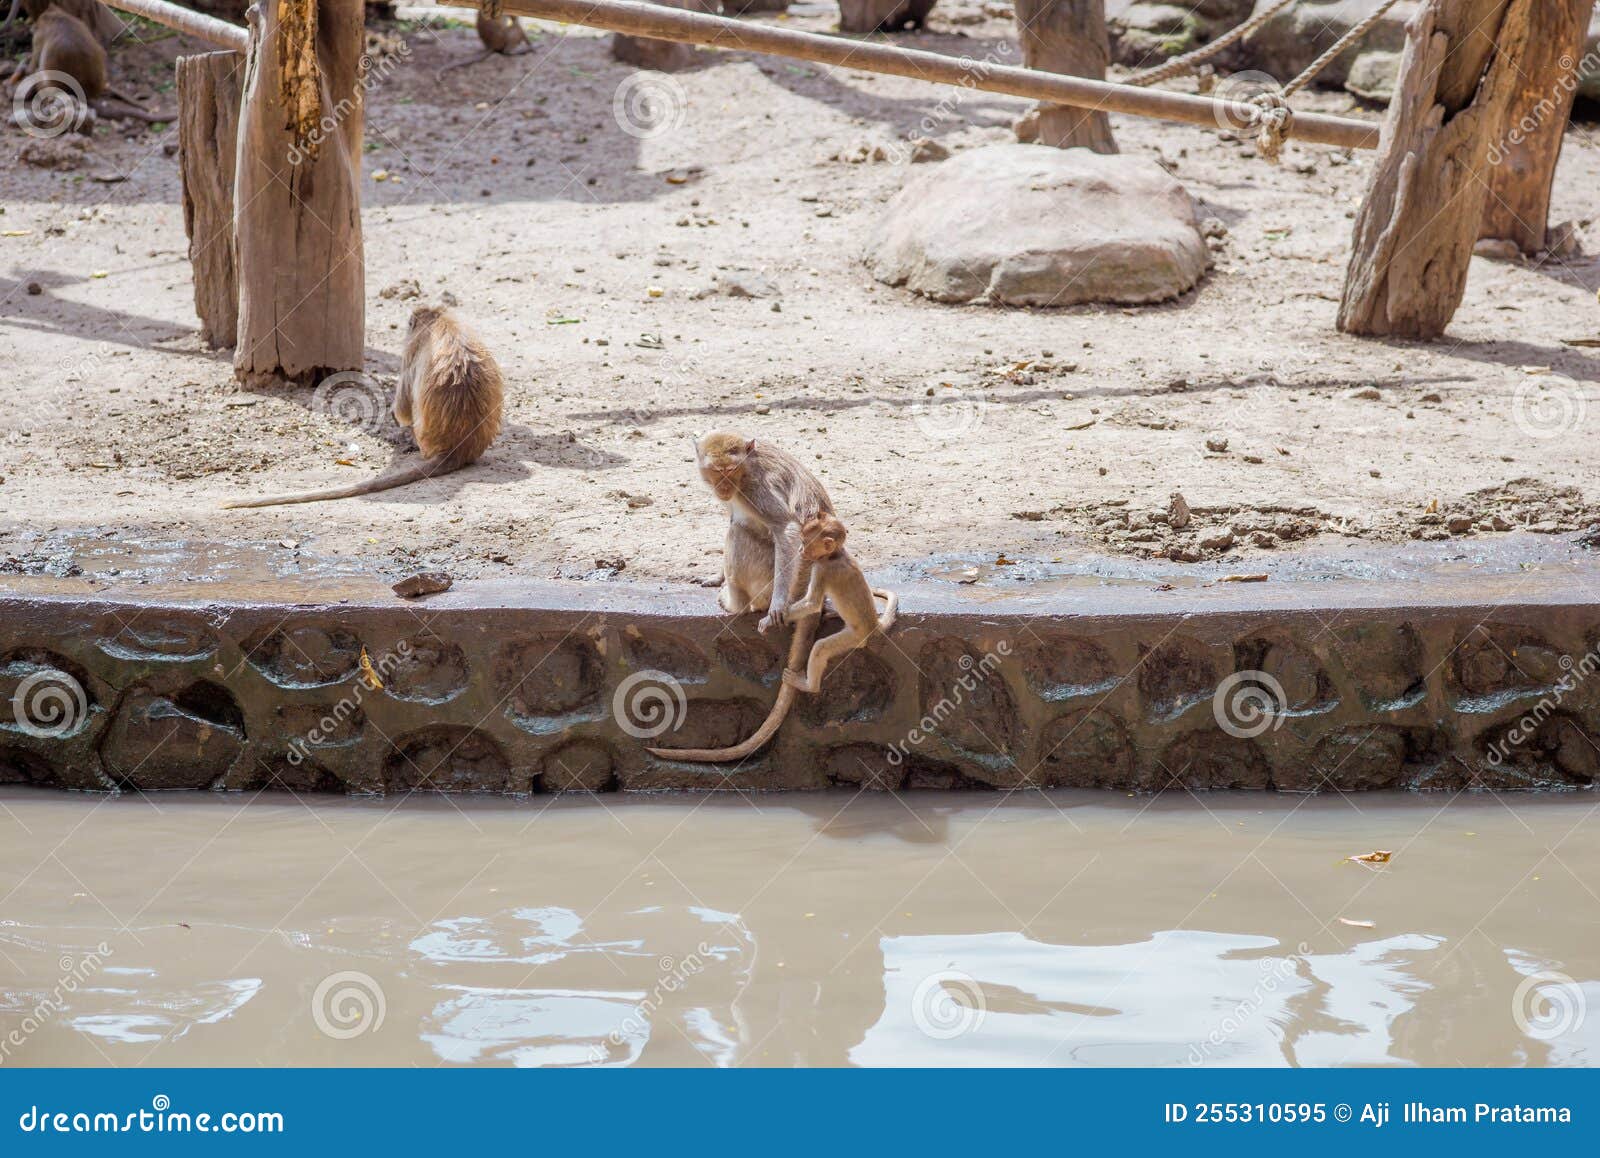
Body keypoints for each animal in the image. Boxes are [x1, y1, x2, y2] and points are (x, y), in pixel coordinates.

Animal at [778, 513, 897, 695]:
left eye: (804, 543)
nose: (800, 550)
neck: (834, 555)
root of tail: (874, 626)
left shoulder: (821, 568)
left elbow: (812, 603)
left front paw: (776, 617)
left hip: (855, 638)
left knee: (821, 648)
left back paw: (809, 686)